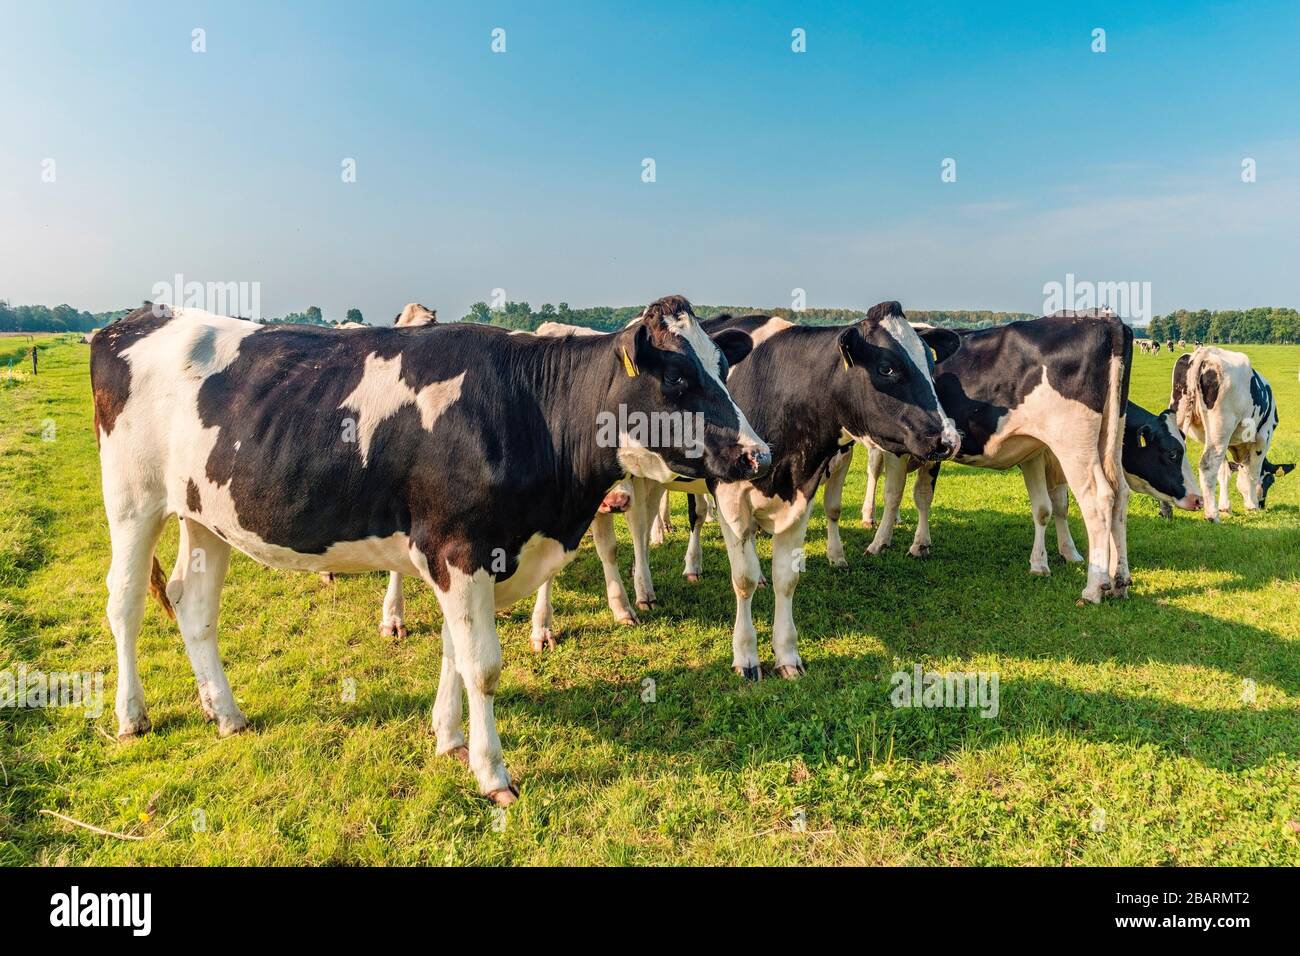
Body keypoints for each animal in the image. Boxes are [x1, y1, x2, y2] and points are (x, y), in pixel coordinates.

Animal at [91, 295, 769, 805]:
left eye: (722, 367)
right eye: (678, 377)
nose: (757, 454)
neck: (531, 409)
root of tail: (135, 317)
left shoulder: (461, 557)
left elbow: (453, 654)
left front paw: (449, 739)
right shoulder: (459, 547)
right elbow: (483, 667)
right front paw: (493, 773)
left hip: (206, 514)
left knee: (193, 604)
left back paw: (225, 712)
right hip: (131, 499)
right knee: (125, 604)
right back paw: (132, 716)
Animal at [824, 314, 1133, 602]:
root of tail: (1107, 322)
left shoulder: (899, 447)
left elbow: (893, 492)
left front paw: (879, 541)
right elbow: (922, 494)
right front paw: (919, 544)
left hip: (1073, 444)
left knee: (1098, 500)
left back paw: (1094, 587)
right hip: (1110, 438)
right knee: (1119, 495)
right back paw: (1119, 580)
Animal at [1171, 347, 1290, 520]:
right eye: (1270, 481)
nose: (1262, 505)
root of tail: (1204, 352)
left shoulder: (1228, 441)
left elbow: (1224, 472)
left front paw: (1225, 507)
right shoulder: (1264, 437)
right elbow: (1252, 473)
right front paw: (1251, 506)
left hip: (1186, 418)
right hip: (1221, 425)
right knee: (1207, 465)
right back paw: (1211, 515)